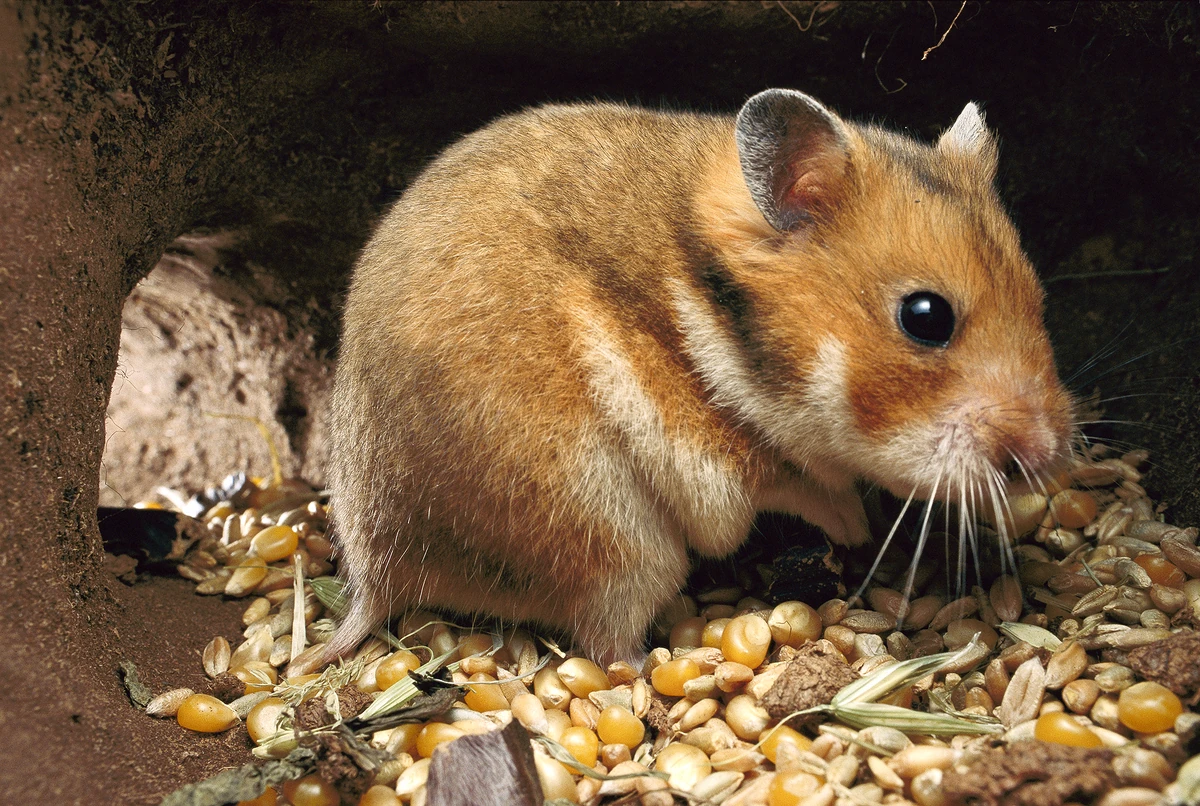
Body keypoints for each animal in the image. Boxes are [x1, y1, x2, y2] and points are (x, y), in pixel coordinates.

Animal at [323, 89, 1074, 666]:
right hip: (612, 540)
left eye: (1039, 298)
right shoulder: (723, 463)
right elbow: (807, 489)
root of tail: (380, 574)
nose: (1046, 459)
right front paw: (859, 529)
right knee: (605, 643)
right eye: (925, 317)